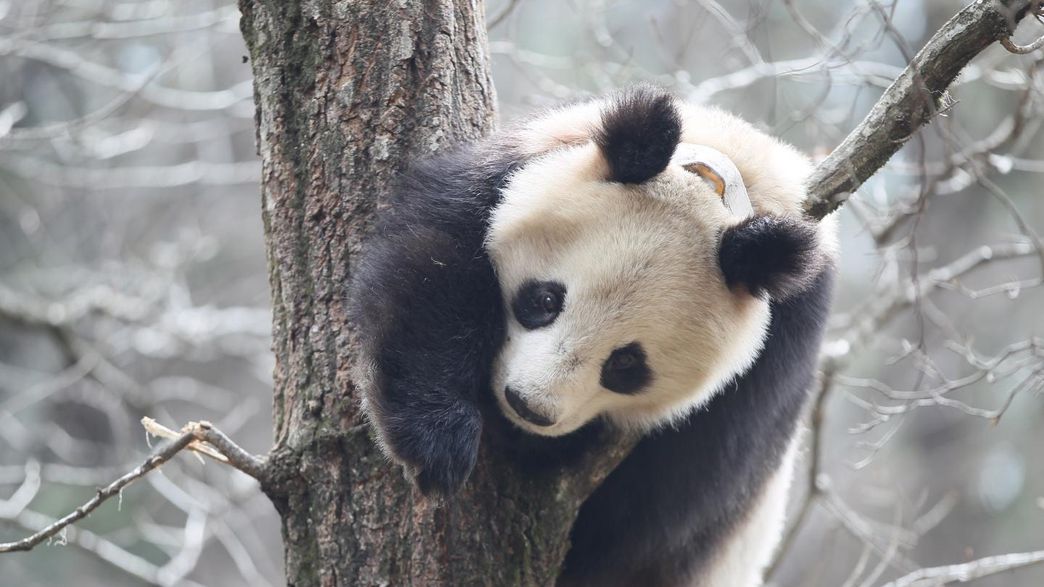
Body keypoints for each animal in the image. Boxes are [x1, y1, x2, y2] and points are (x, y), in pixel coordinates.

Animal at [350, 85, 837, 587]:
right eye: (544, 299)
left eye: (627, 364)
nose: (527, 406)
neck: (729, 176)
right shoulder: (515, 166)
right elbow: (433, 264)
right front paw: (438, 441)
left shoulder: (768, 372)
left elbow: (655, 507)